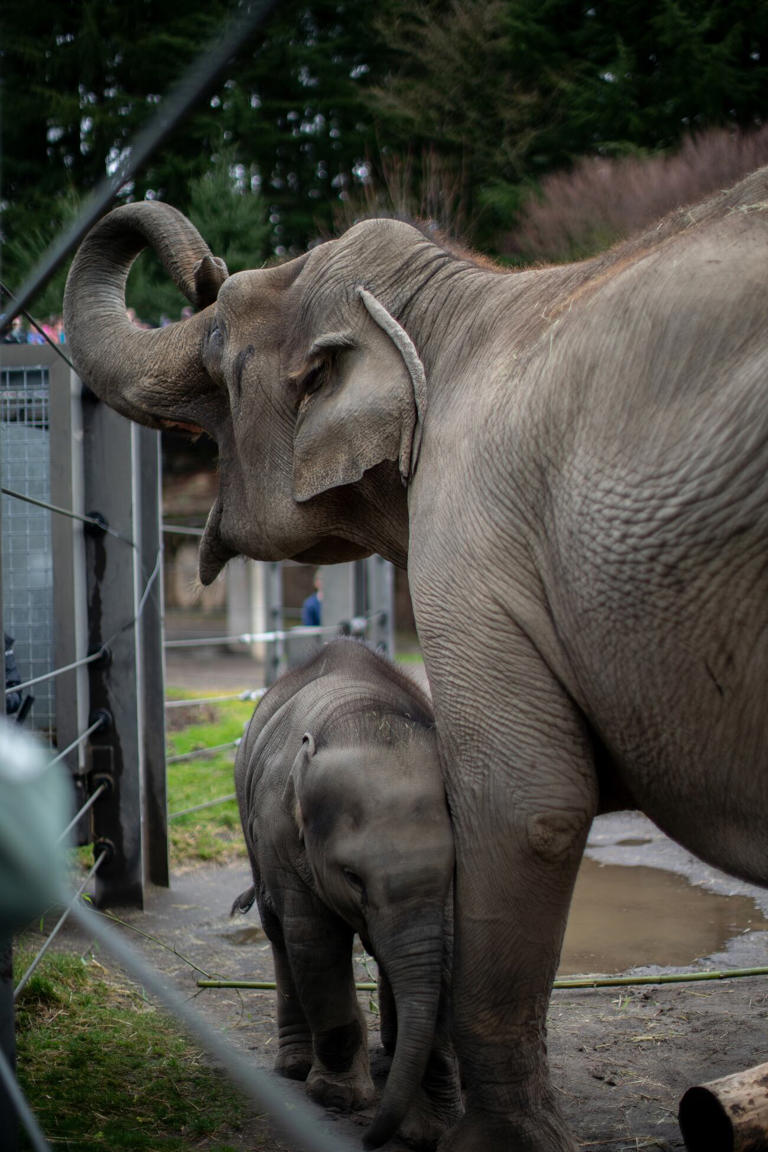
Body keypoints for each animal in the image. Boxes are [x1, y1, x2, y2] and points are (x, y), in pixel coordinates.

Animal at [230, 638, 460, 1149]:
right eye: (352, 876)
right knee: (279, 934)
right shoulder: (280, 837)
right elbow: (315, 944)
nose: (370, 1138)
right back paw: (297, 1065)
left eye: (454, 868)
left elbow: (446, 960)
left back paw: (391, 1049)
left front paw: (430, 1129)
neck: (363, 717)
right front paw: (339, 1098)